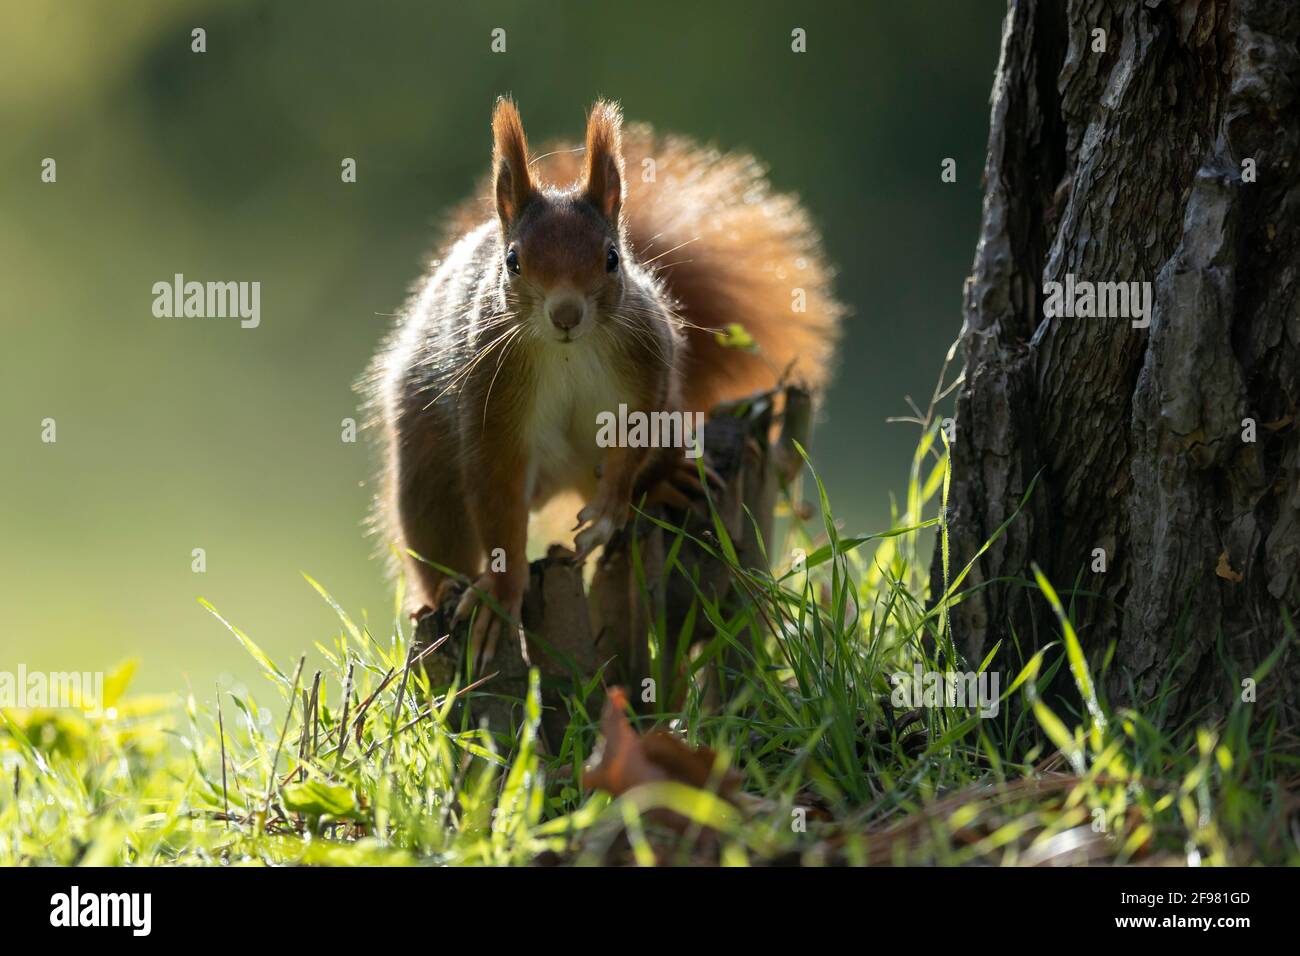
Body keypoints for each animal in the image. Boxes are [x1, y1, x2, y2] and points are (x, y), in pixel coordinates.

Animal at [363, 97, 844, 659]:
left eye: (612, 258)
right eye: (513, 261)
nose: (567, 315)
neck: (567, 354)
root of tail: (562, 483)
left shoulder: (648, 365)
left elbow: (633, 437)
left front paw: (615, 501)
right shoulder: (490, 397)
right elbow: (496, 495)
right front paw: (499, 596)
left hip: (673, 414)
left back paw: (664, 482)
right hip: (428, 477)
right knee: (439, 534)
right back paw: (445, 591)